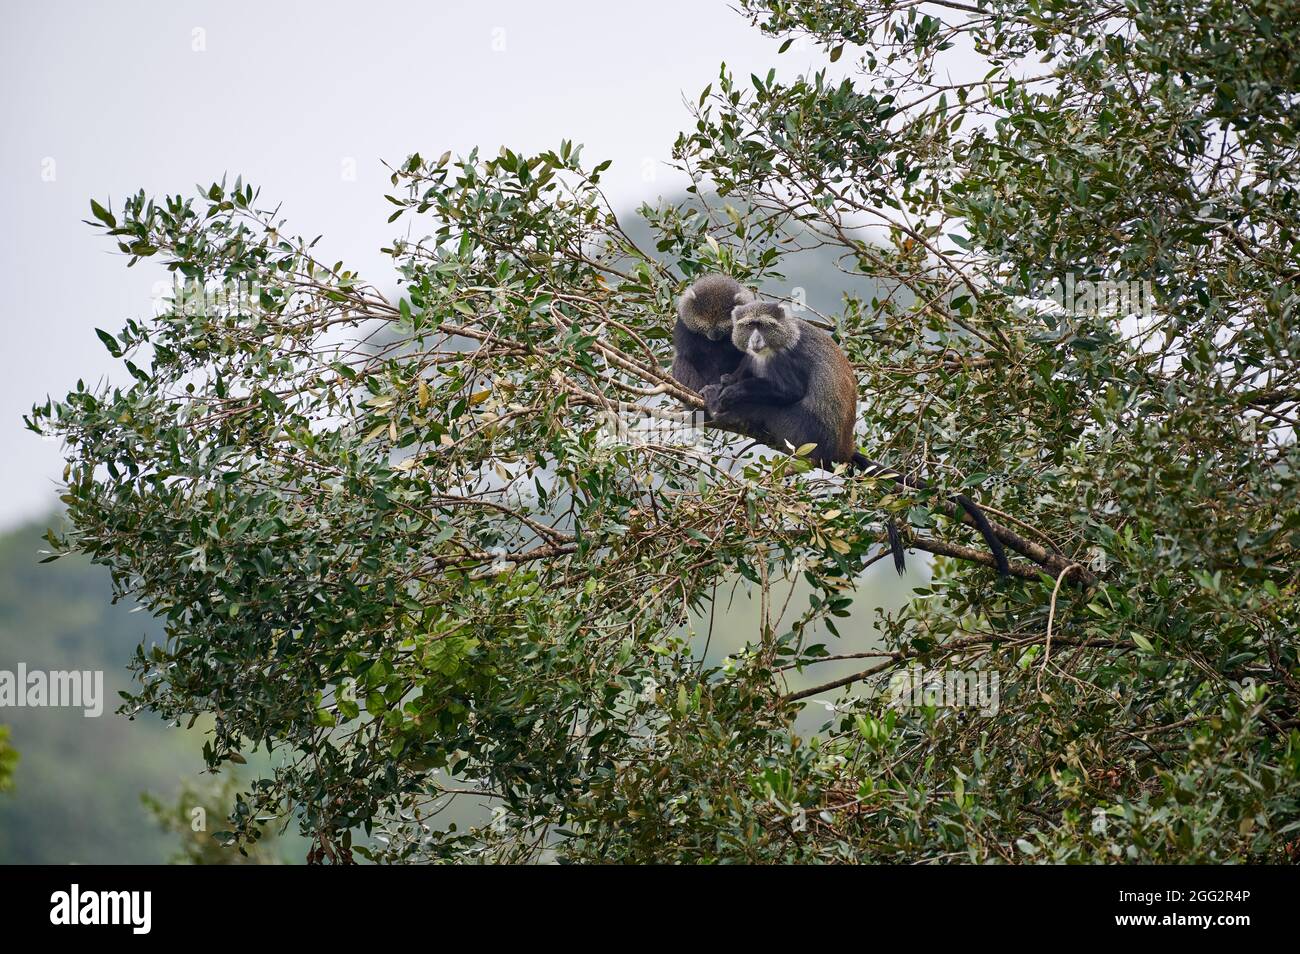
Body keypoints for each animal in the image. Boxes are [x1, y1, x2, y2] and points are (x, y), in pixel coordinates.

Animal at [702, 300, 1010, 577]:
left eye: (763, 325)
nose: (755, 340)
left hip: (799, 428)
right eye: (748, 325)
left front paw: (729, 393)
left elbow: (789, 391)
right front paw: (725, 381)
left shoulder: (787, 360)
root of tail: (843, 449)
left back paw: (718, 406)